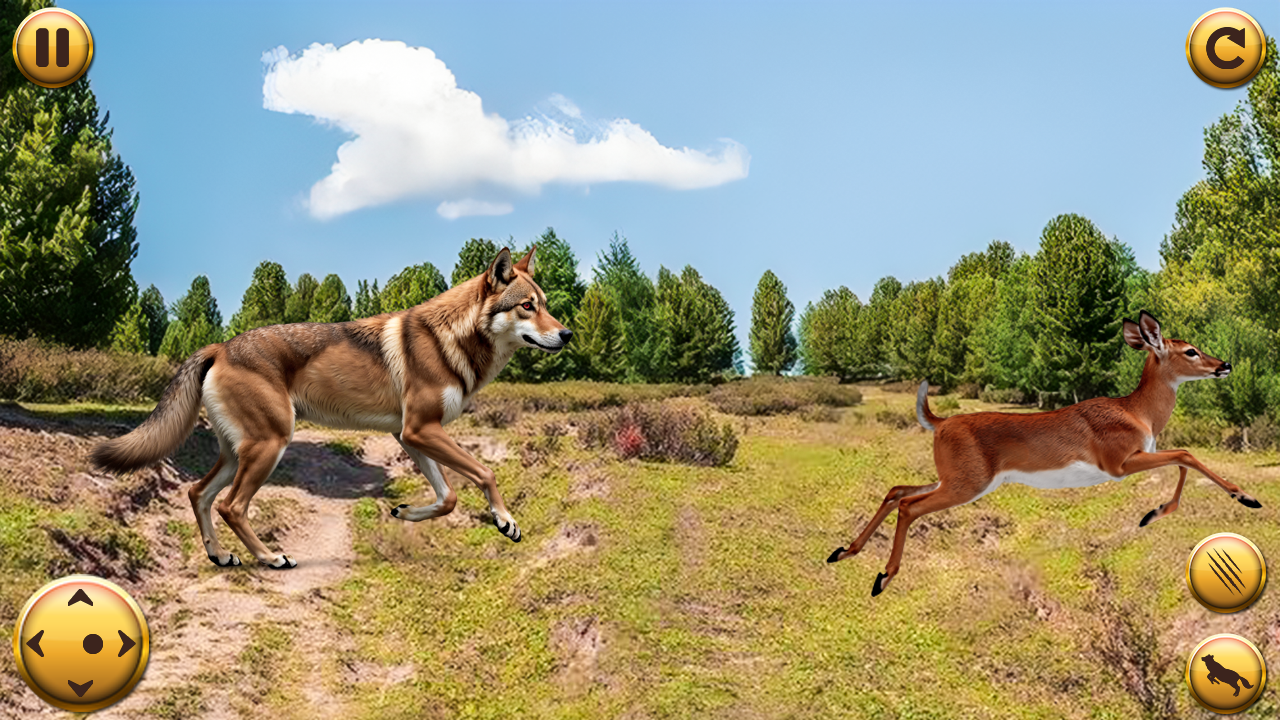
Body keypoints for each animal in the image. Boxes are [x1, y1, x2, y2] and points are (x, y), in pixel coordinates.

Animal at [92, 247, 569, 568]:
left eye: (546, 305)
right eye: (527, 306)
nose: (566, 334)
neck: (451, 339)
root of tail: (220, 346)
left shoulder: (410, 436)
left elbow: (447, 497)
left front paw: (406, 512)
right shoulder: (421, 430)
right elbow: (485, 473)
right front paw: (505, 521)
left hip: (237, 454)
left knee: (198, 493)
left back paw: (220, 556)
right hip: (269, 447)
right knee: (231, 506)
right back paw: (270, 558)